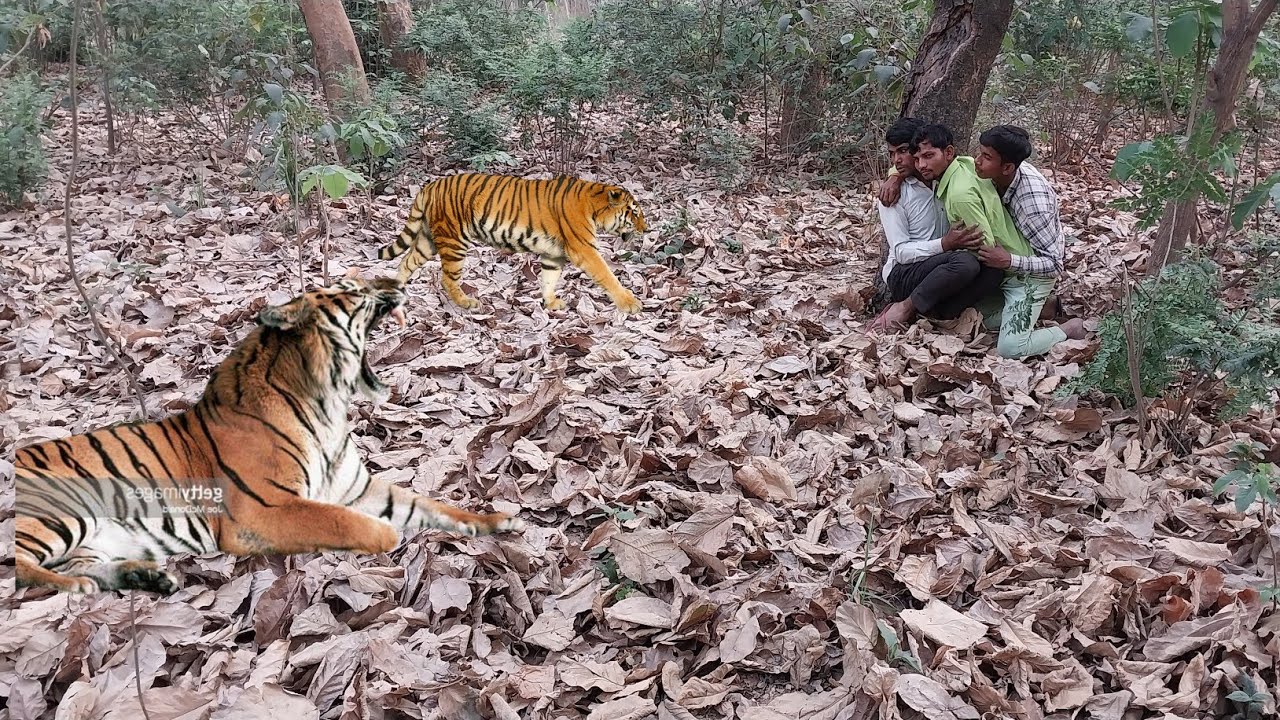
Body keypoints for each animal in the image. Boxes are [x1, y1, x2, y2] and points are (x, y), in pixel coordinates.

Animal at [13, 270, 524, 595]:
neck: (329, 405)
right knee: (20, 567)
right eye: (353, 288)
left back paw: (147, 577)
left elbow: (431, 505)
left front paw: (496, 521)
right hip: (60, 510)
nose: (399, 282)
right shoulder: (265, 508)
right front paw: (390, 537)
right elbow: (355, 524)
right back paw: (79, 587)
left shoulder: (357, 488)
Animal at [378, 172, 649, 314]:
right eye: (635, 213)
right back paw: (466, 302)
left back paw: (395, 291)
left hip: (428, 239)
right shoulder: (584, 249)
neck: (594, 204)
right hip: (453, 239)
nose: (646, 229)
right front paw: (630, 303)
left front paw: (551, 303)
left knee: (407, 260)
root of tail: (431, 185)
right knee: (447, 278)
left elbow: (549, 279)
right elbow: (607, 275)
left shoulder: (553, 255)